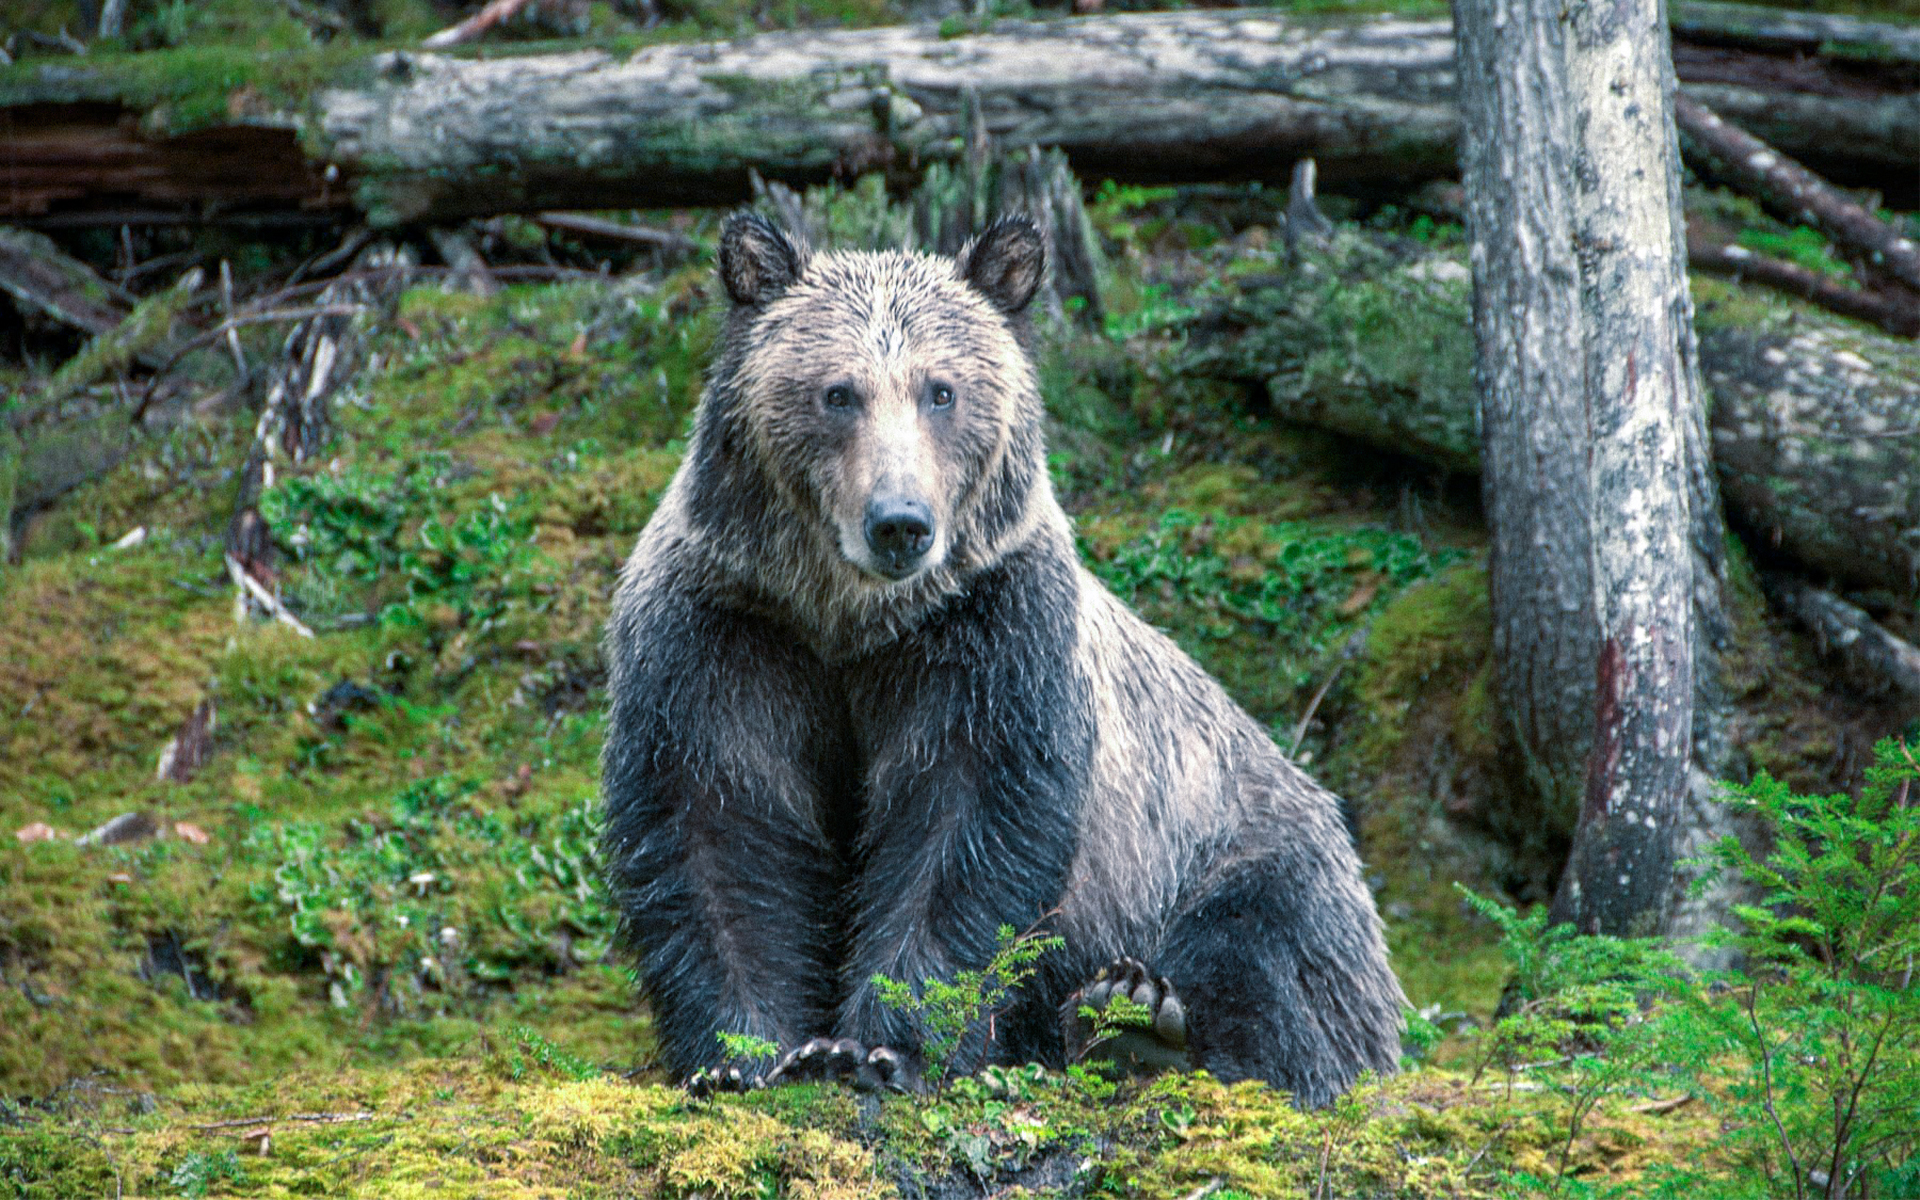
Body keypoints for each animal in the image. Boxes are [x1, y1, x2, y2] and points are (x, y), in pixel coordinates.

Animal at [599, 211, 1405, 1107]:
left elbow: (962, 829)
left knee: (1268, 962)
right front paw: (745, 1053)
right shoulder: (731, 636)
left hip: (1227, 842)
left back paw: (1141, 1019)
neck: (853, 622)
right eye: (838, 392)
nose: (900, 523)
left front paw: (882, 1046)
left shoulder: (991, 638)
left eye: (941, 390)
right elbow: (721, 823)